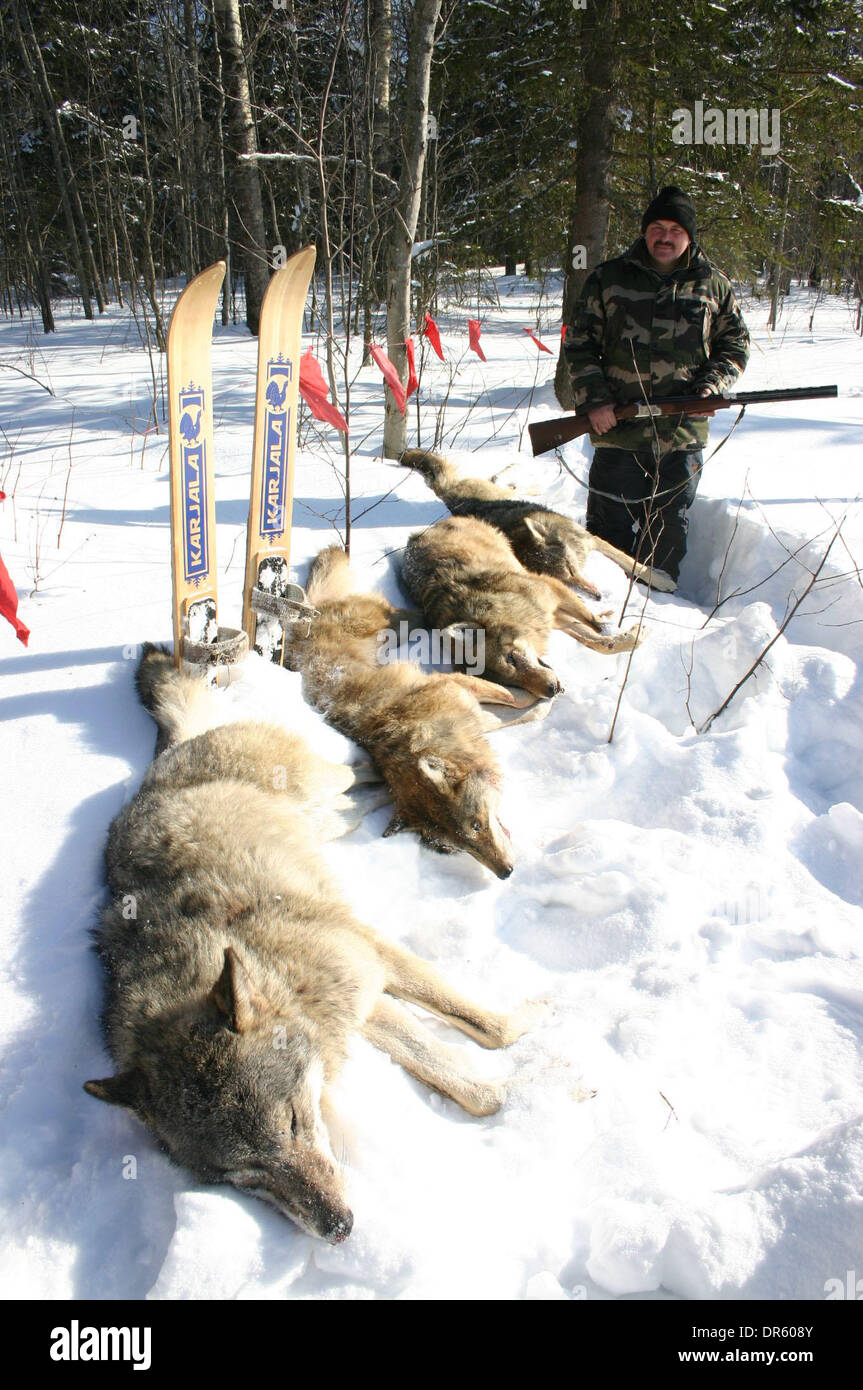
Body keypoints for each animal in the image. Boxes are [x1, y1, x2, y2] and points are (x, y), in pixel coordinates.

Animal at [85, 645, 541, 1243]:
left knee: (362, 768)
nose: (338, 1227)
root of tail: (166, 759)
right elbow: (470, 1089)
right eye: (245, 1178)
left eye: (294, 1123)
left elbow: (485, 1028)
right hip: (328, 822)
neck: (267, 966)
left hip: (324, 782)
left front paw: (536, 1024)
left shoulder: (366, 960)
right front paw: (504, 1091)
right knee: (358, 799)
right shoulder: (351, 1009)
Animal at [282, 545, 549, 878]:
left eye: (476, 825)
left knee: (414, 615)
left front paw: (543, 697)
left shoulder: (458, 689)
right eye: (459, 847)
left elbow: (514, 701)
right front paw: (541, 701)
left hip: (392, 624)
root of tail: (303, 616)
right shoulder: (469, 713)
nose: (507, 873)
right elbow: (512, 710)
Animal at [400, 448, 677, 596]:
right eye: (565, 579)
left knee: (502, 482)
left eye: (570, 569)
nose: (597, 597)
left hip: (496, 491)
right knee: (502, 482)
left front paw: (662, 580)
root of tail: (445, 491)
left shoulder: (593, 540)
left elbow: (632, 563)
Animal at [401, 514, 644, 699]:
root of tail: (419, 532)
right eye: (511, 684)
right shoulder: (550, 619)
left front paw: (618, 630)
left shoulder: (551, 594)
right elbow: (597, 643)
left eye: (511, 658)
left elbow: (595, 626)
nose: (551, 690)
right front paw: (628, 637)